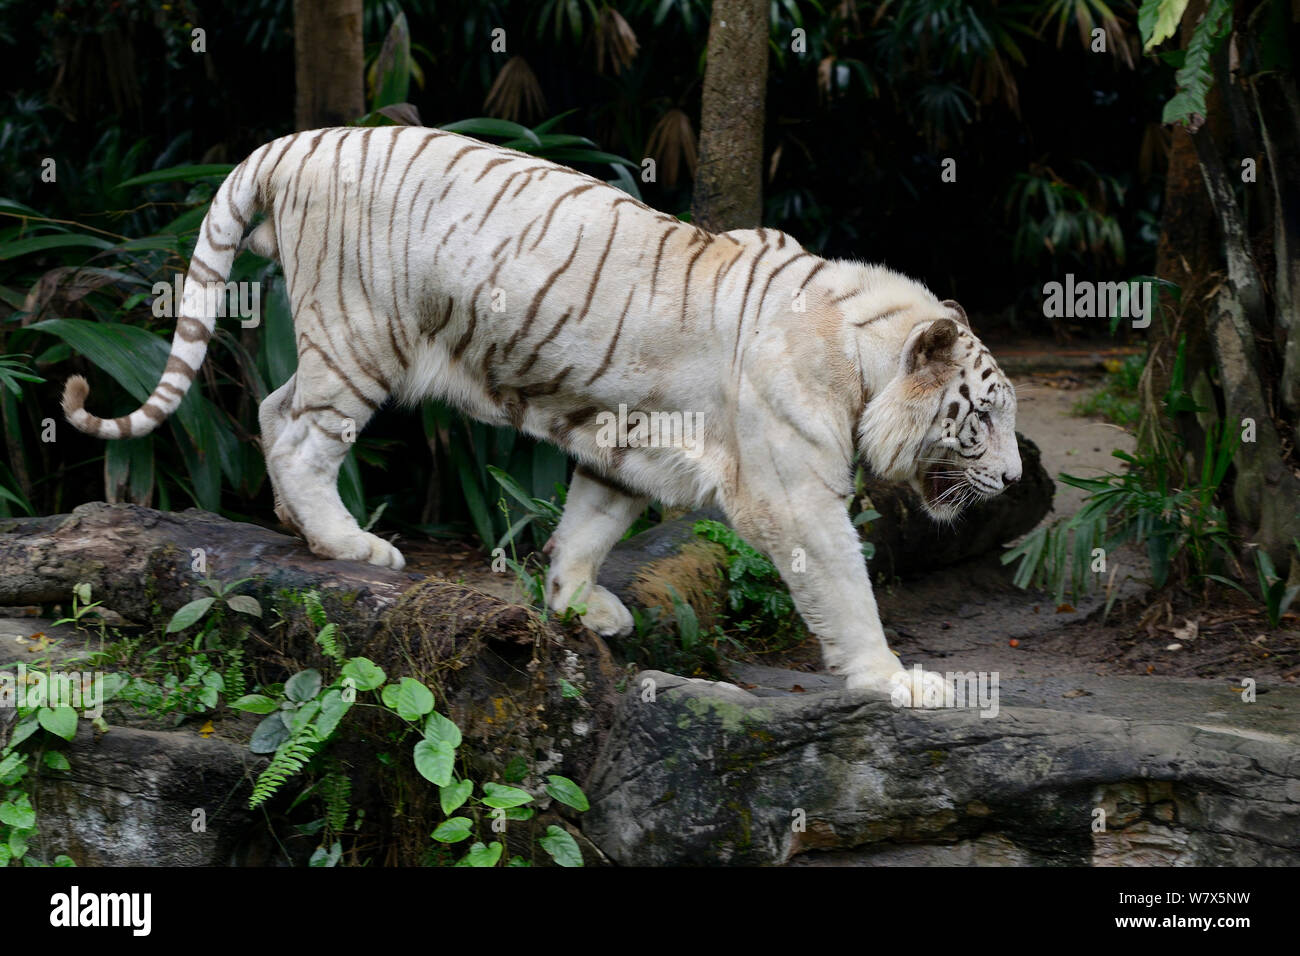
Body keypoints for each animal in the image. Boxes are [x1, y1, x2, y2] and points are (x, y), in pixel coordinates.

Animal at [62, 125, 1021, 706]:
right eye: (984, 414)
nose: (1015, 478)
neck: (861, 361)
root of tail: (298, 138)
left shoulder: (626, 439)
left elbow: (586, 528)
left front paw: (578, 610)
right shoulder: (796, 498)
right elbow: (848, 590)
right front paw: (899, 682)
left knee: (271, 403)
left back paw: (297, 526)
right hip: (365, 335)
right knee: (304, 437)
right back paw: (349, 544)